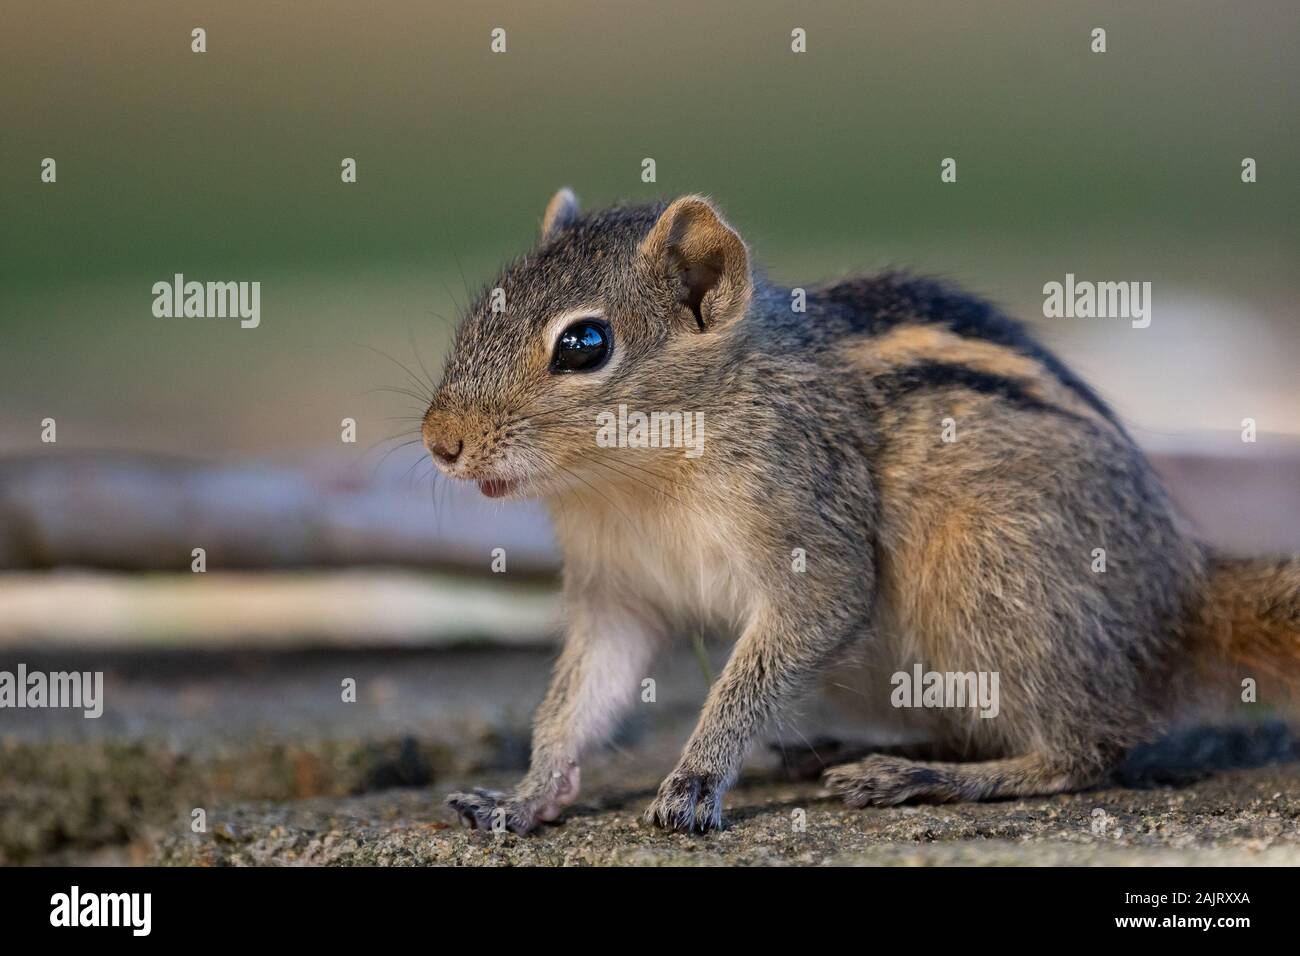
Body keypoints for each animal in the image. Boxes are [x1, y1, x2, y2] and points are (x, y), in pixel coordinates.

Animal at [423, 189, 1300, 833]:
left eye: (585, 345)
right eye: (472, 320)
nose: (439, 441)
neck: (631, 477)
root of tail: (1182, 597)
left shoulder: (811, 530)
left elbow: (781, 646)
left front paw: (696, 778)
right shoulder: (620, 595)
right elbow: (579, 698)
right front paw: (526, 795)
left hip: (992, 586)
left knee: (1086, 750)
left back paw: (926, 776)